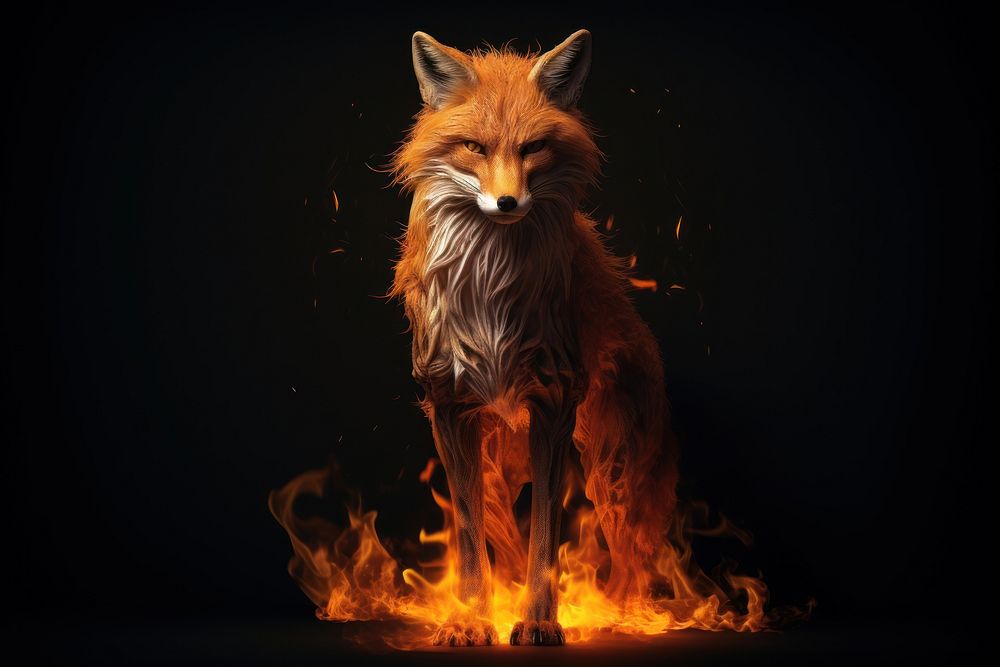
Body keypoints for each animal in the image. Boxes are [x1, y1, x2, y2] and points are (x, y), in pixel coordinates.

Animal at [390, 29, 679, 646]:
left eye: (534, 149)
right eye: (473, 147)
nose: (507, 203)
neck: (491, 291)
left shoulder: (554, 402)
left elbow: (546, 538)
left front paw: (541, 620)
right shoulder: (449, 408)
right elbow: (470, 538)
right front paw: (470, 620)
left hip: (611, 473)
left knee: (630, 557)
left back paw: (622, 612)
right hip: (502, 468)